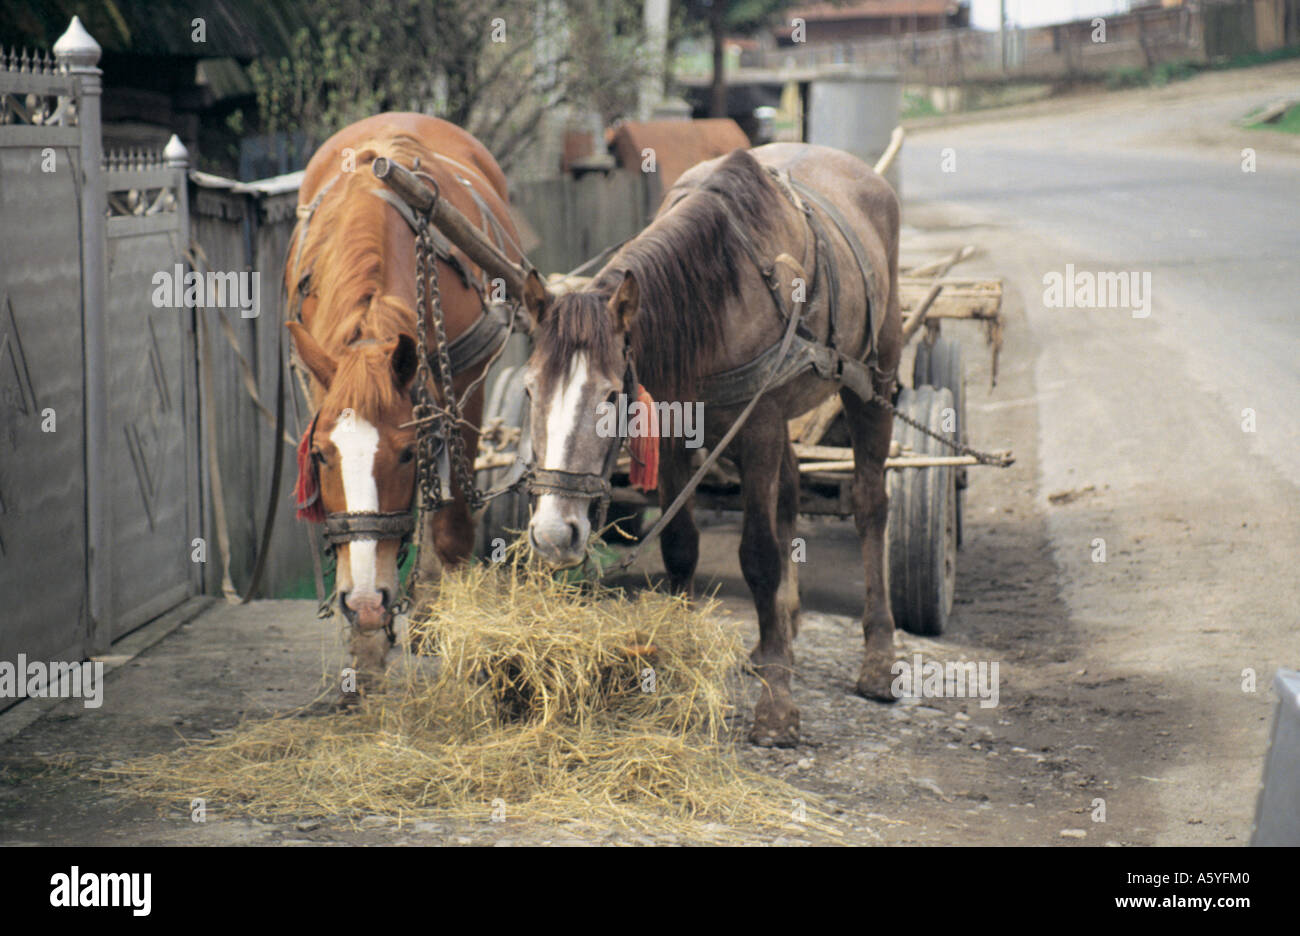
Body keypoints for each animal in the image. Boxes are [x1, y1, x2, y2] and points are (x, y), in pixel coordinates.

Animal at [284, 113, 524, 682]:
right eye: (320, 455)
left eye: (407, 454)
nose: (368, 602)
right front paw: (365, 642)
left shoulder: (464, 386)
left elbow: (452, 520)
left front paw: (439, 621)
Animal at [519, 143, 902, 747]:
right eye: (530, 389)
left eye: (610, 395)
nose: (555, 535)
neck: (720, 292)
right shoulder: (679, 428)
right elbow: (680, 543)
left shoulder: (761, 423)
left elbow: (759, 555)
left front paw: (776, 706)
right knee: (790, 494)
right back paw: (778, 636)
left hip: (875, 378)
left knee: (869, 504)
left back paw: (878, 658)